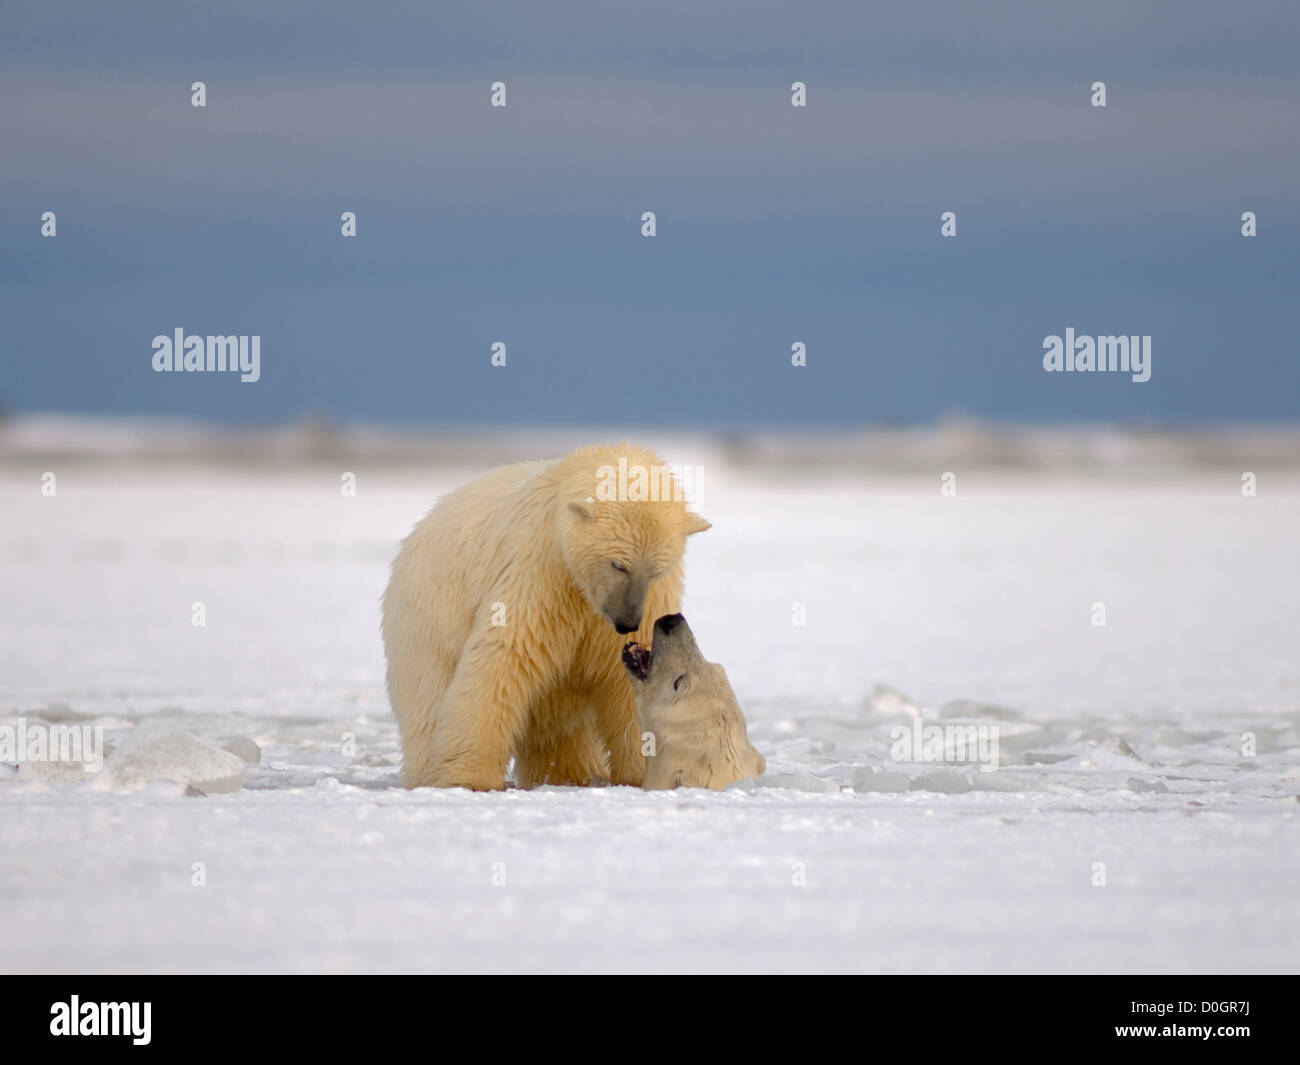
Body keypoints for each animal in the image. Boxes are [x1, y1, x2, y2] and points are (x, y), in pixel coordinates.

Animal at [381, 443, 710, 790]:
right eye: (618, 564)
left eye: (657, 569)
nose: (625, 623)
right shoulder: (541, 571)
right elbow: (506, 658)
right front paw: (471, 778)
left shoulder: (649, 600)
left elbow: (627, 678)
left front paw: (642, 771)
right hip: (429, 616)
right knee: (427, 699)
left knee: (560, 725)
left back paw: (573, 774)